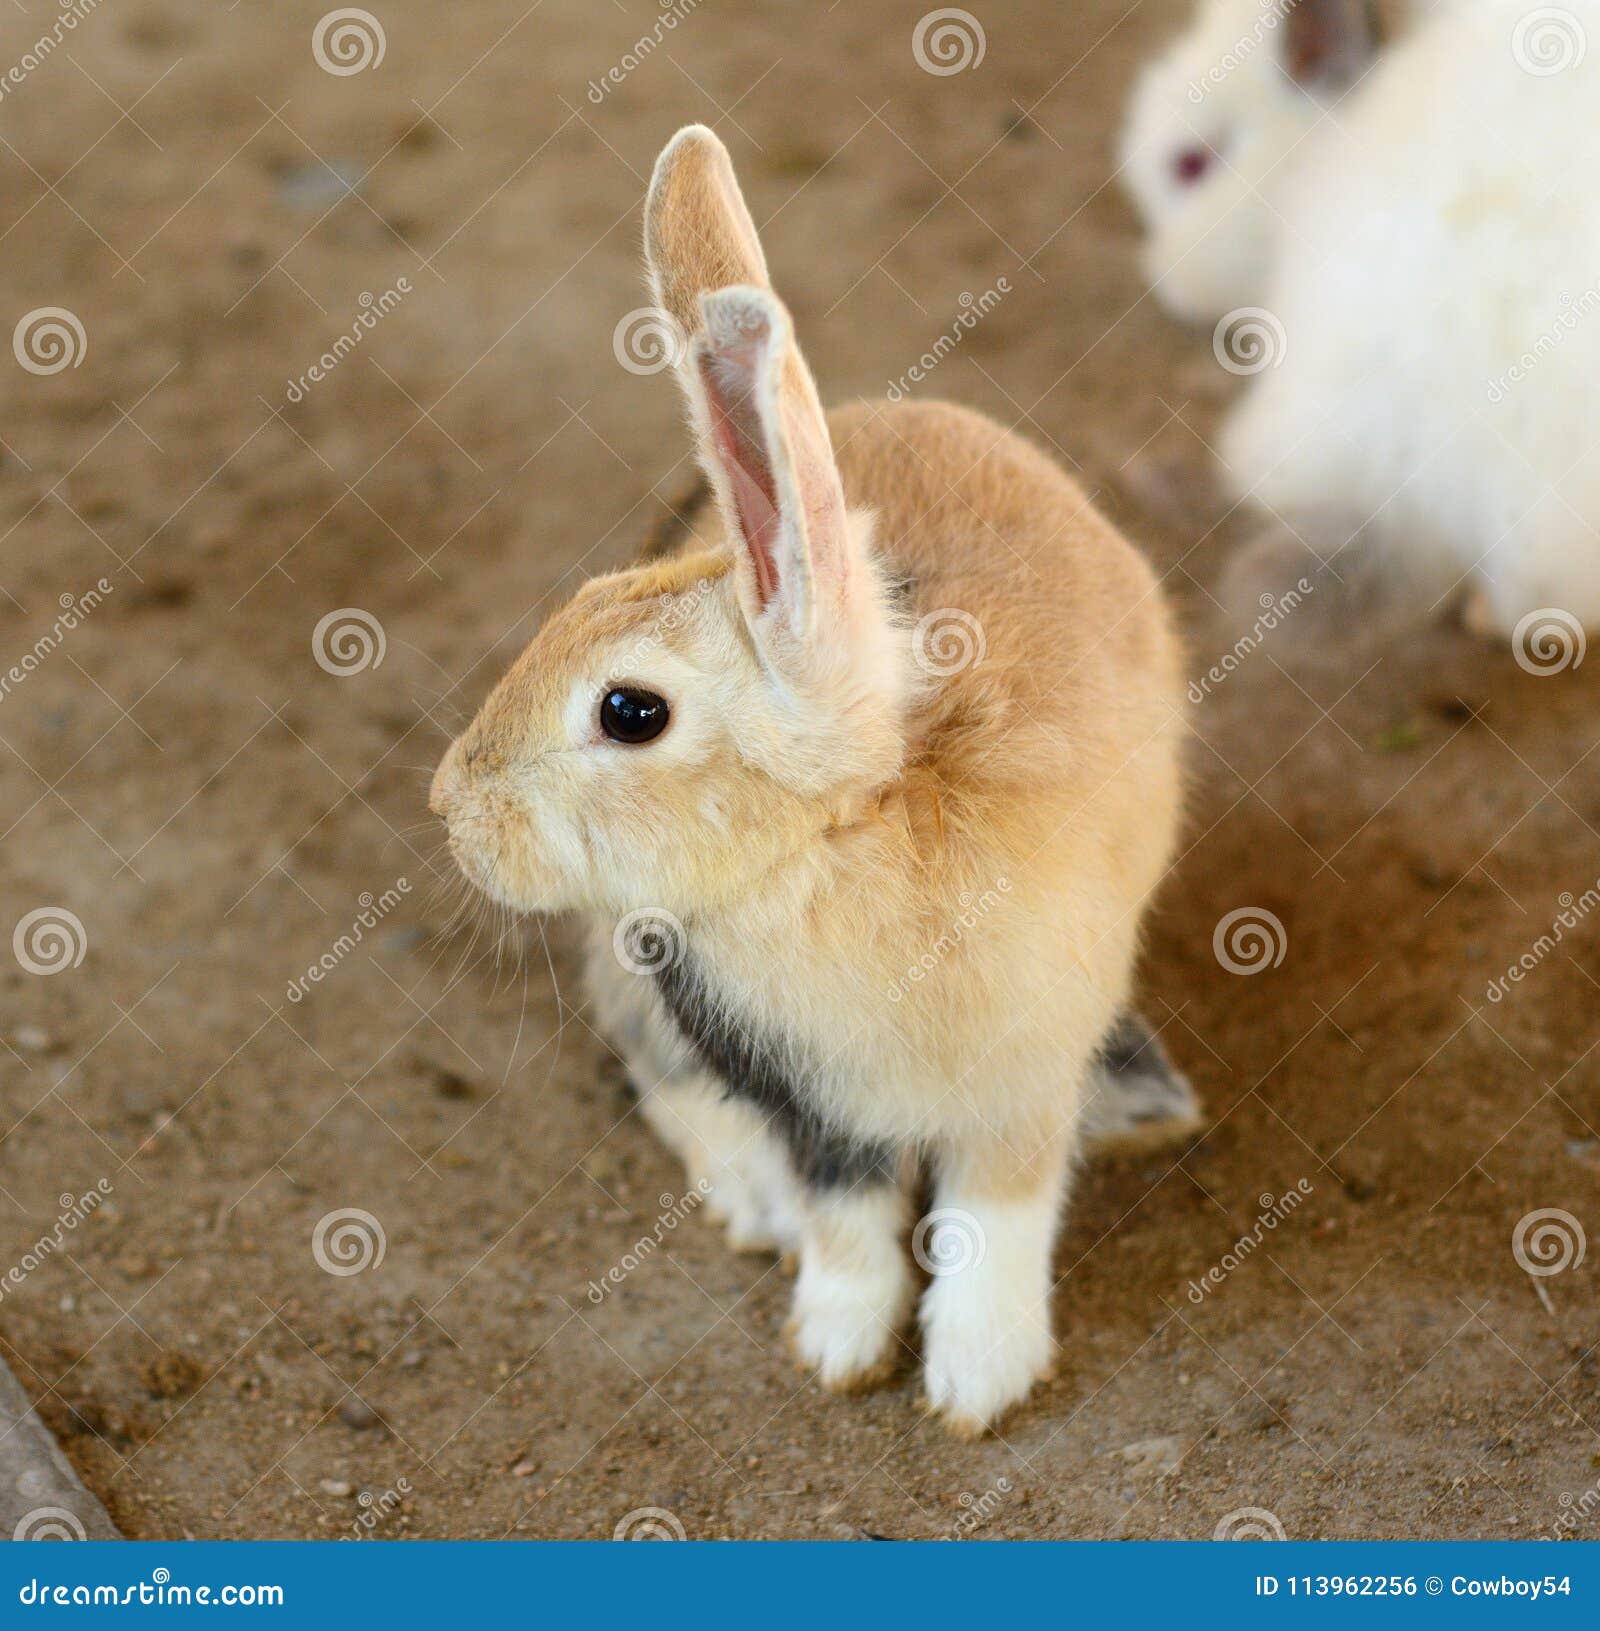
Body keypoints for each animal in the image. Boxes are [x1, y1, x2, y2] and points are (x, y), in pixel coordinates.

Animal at [431, 125, 1187, 1434]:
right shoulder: (816, 1107)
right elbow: (845, 1221)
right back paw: (752, 1199)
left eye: (630, 711)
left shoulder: (1022, 1085)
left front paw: (975, 1379)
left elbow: (995, 1219)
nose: (451, 809)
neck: (851, 827)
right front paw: (837, 1343)